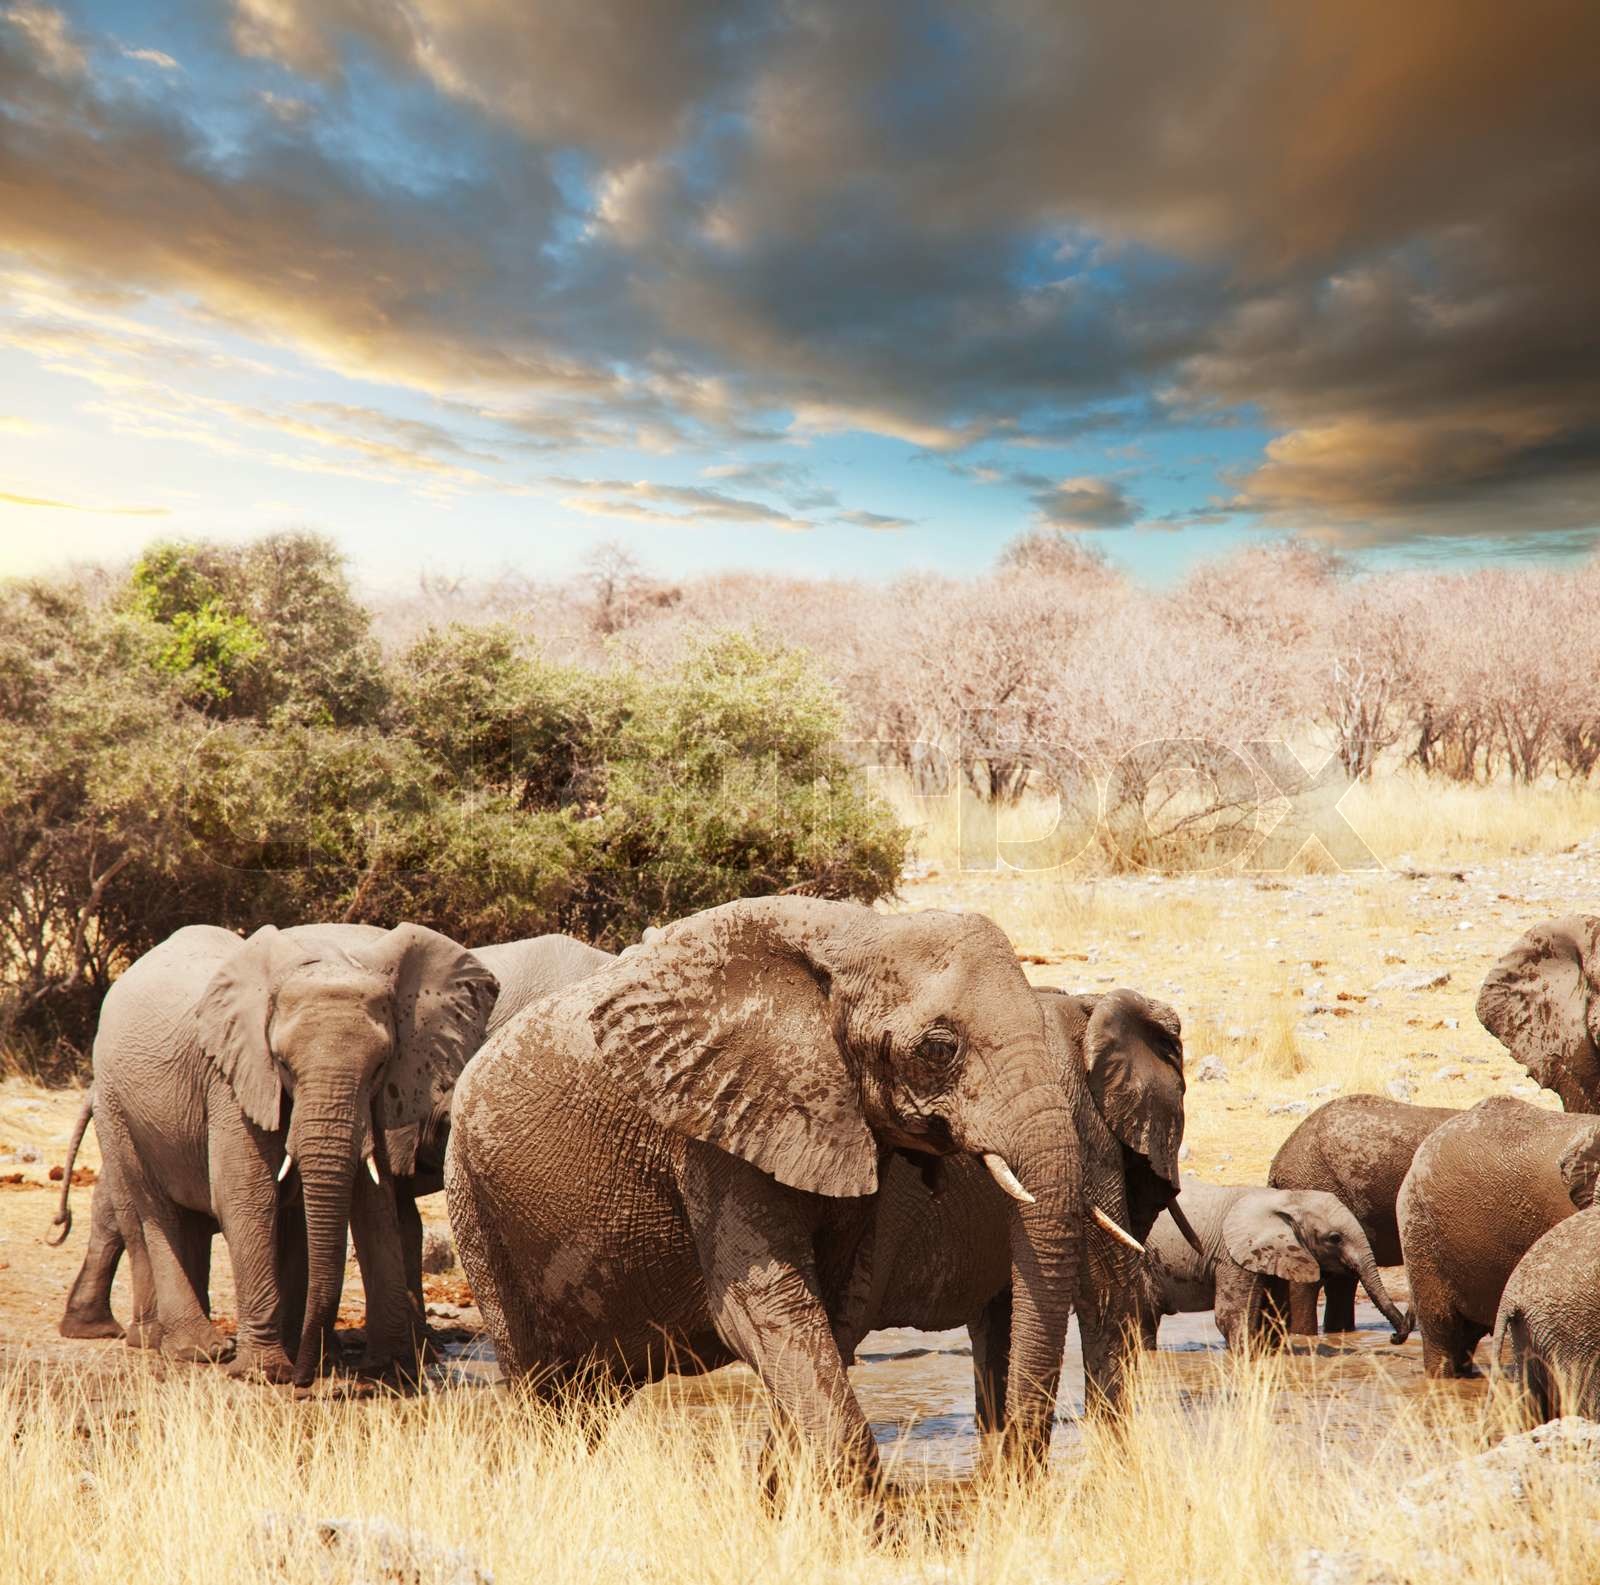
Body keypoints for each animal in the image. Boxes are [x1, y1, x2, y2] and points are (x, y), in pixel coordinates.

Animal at [52, 932, 613, 1349]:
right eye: (280, 1063)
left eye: (380, 1064)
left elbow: (382, 1206)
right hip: (119, 1104)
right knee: (146, 1209)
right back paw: (168, 1343)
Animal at [446, 897, 1086, 1484]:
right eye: (938, 1048)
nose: (1012, 1465)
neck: (859, 934)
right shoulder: (711, 1129)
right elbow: (761, 1309)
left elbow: (830, 1311)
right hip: (476, 1209)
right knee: (542, 1389)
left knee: (591, 1398)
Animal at [1137, 1183, 1411, 1350]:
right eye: (1335, 1238)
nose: (1394, 1337)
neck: (1287, 1198)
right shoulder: (1233, 1254)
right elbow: (1231, 1317)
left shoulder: (1276, 1254)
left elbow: (1274, 1316)